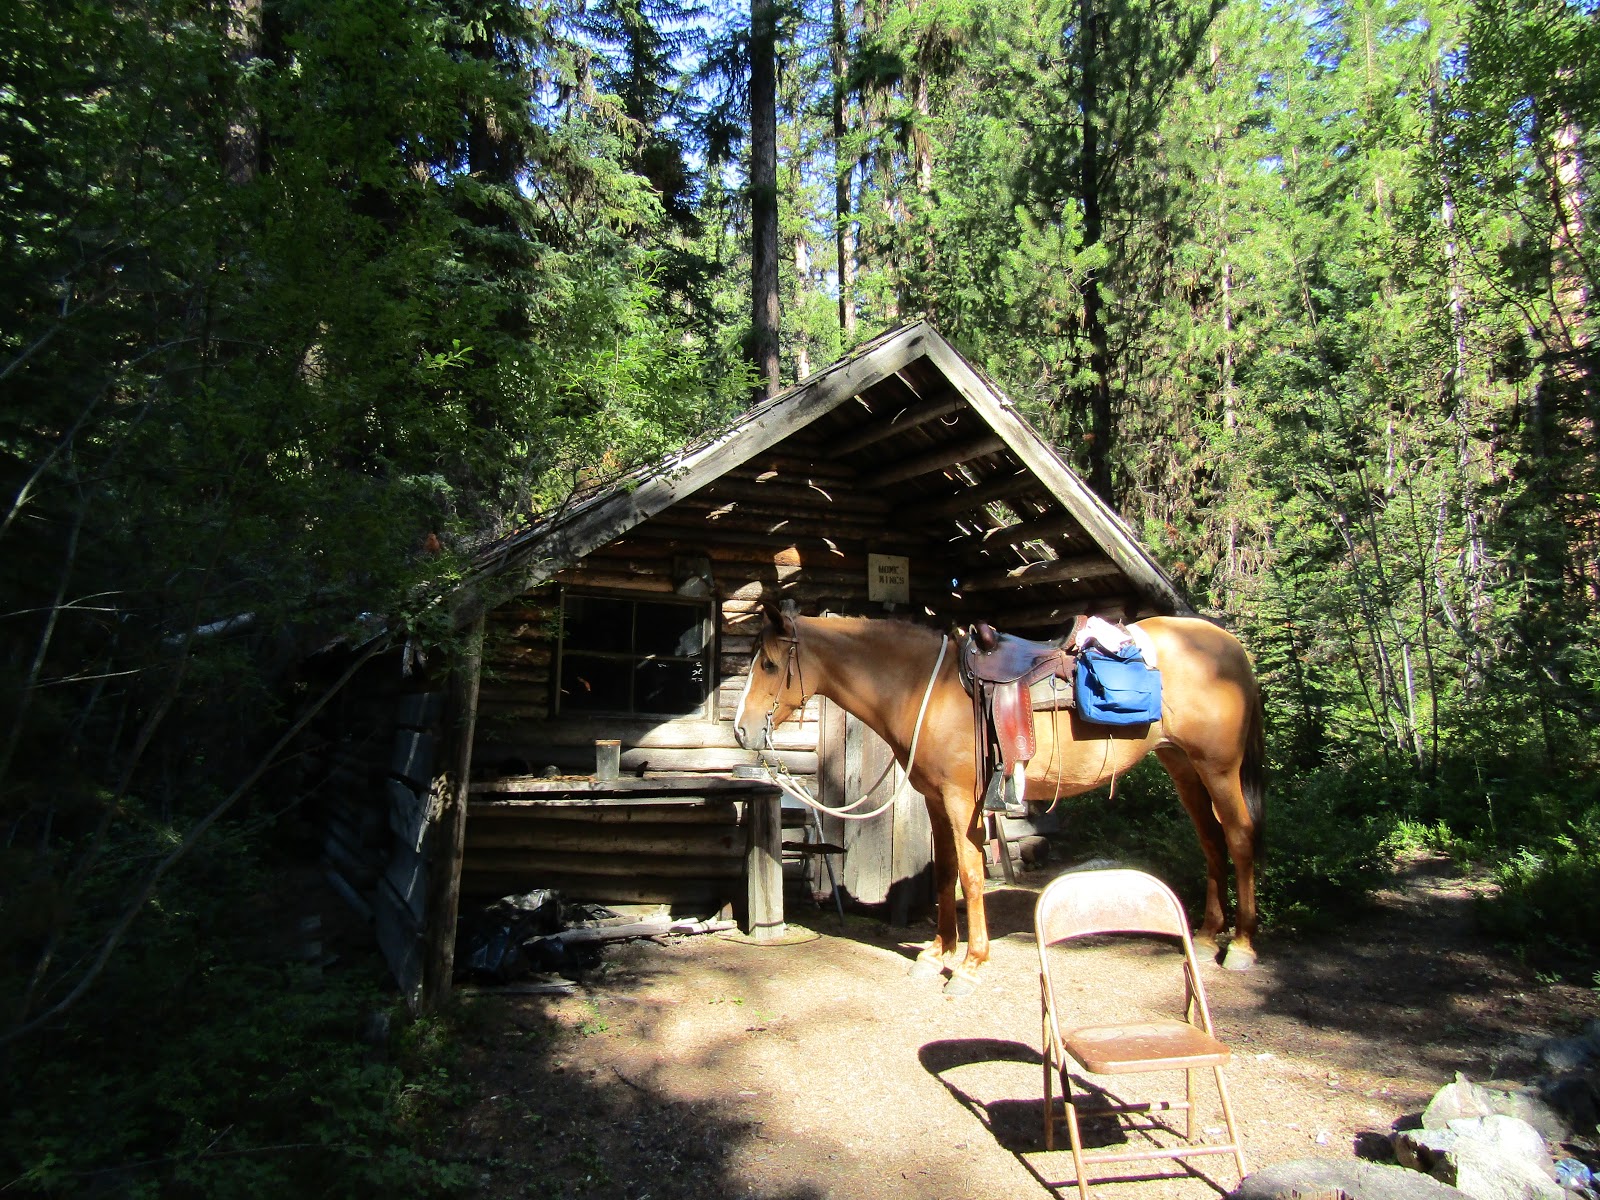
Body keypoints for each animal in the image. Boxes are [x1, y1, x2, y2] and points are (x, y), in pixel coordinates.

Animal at [733, 607, 1265, 993]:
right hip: (1182, 765)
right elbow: (945, 873)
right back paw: (1204, 936)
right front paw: (938, 952)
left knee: (1239, 838)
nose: (741, 729)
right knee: (1211, 840)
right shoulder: (935, 800)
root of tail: (1230, 646)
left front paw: (971, 964)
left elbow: (971, 875)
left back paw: (1240, 945)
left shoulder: (959, 801)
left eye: (771, 665)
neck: (925, 688)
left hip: (1218, 768)